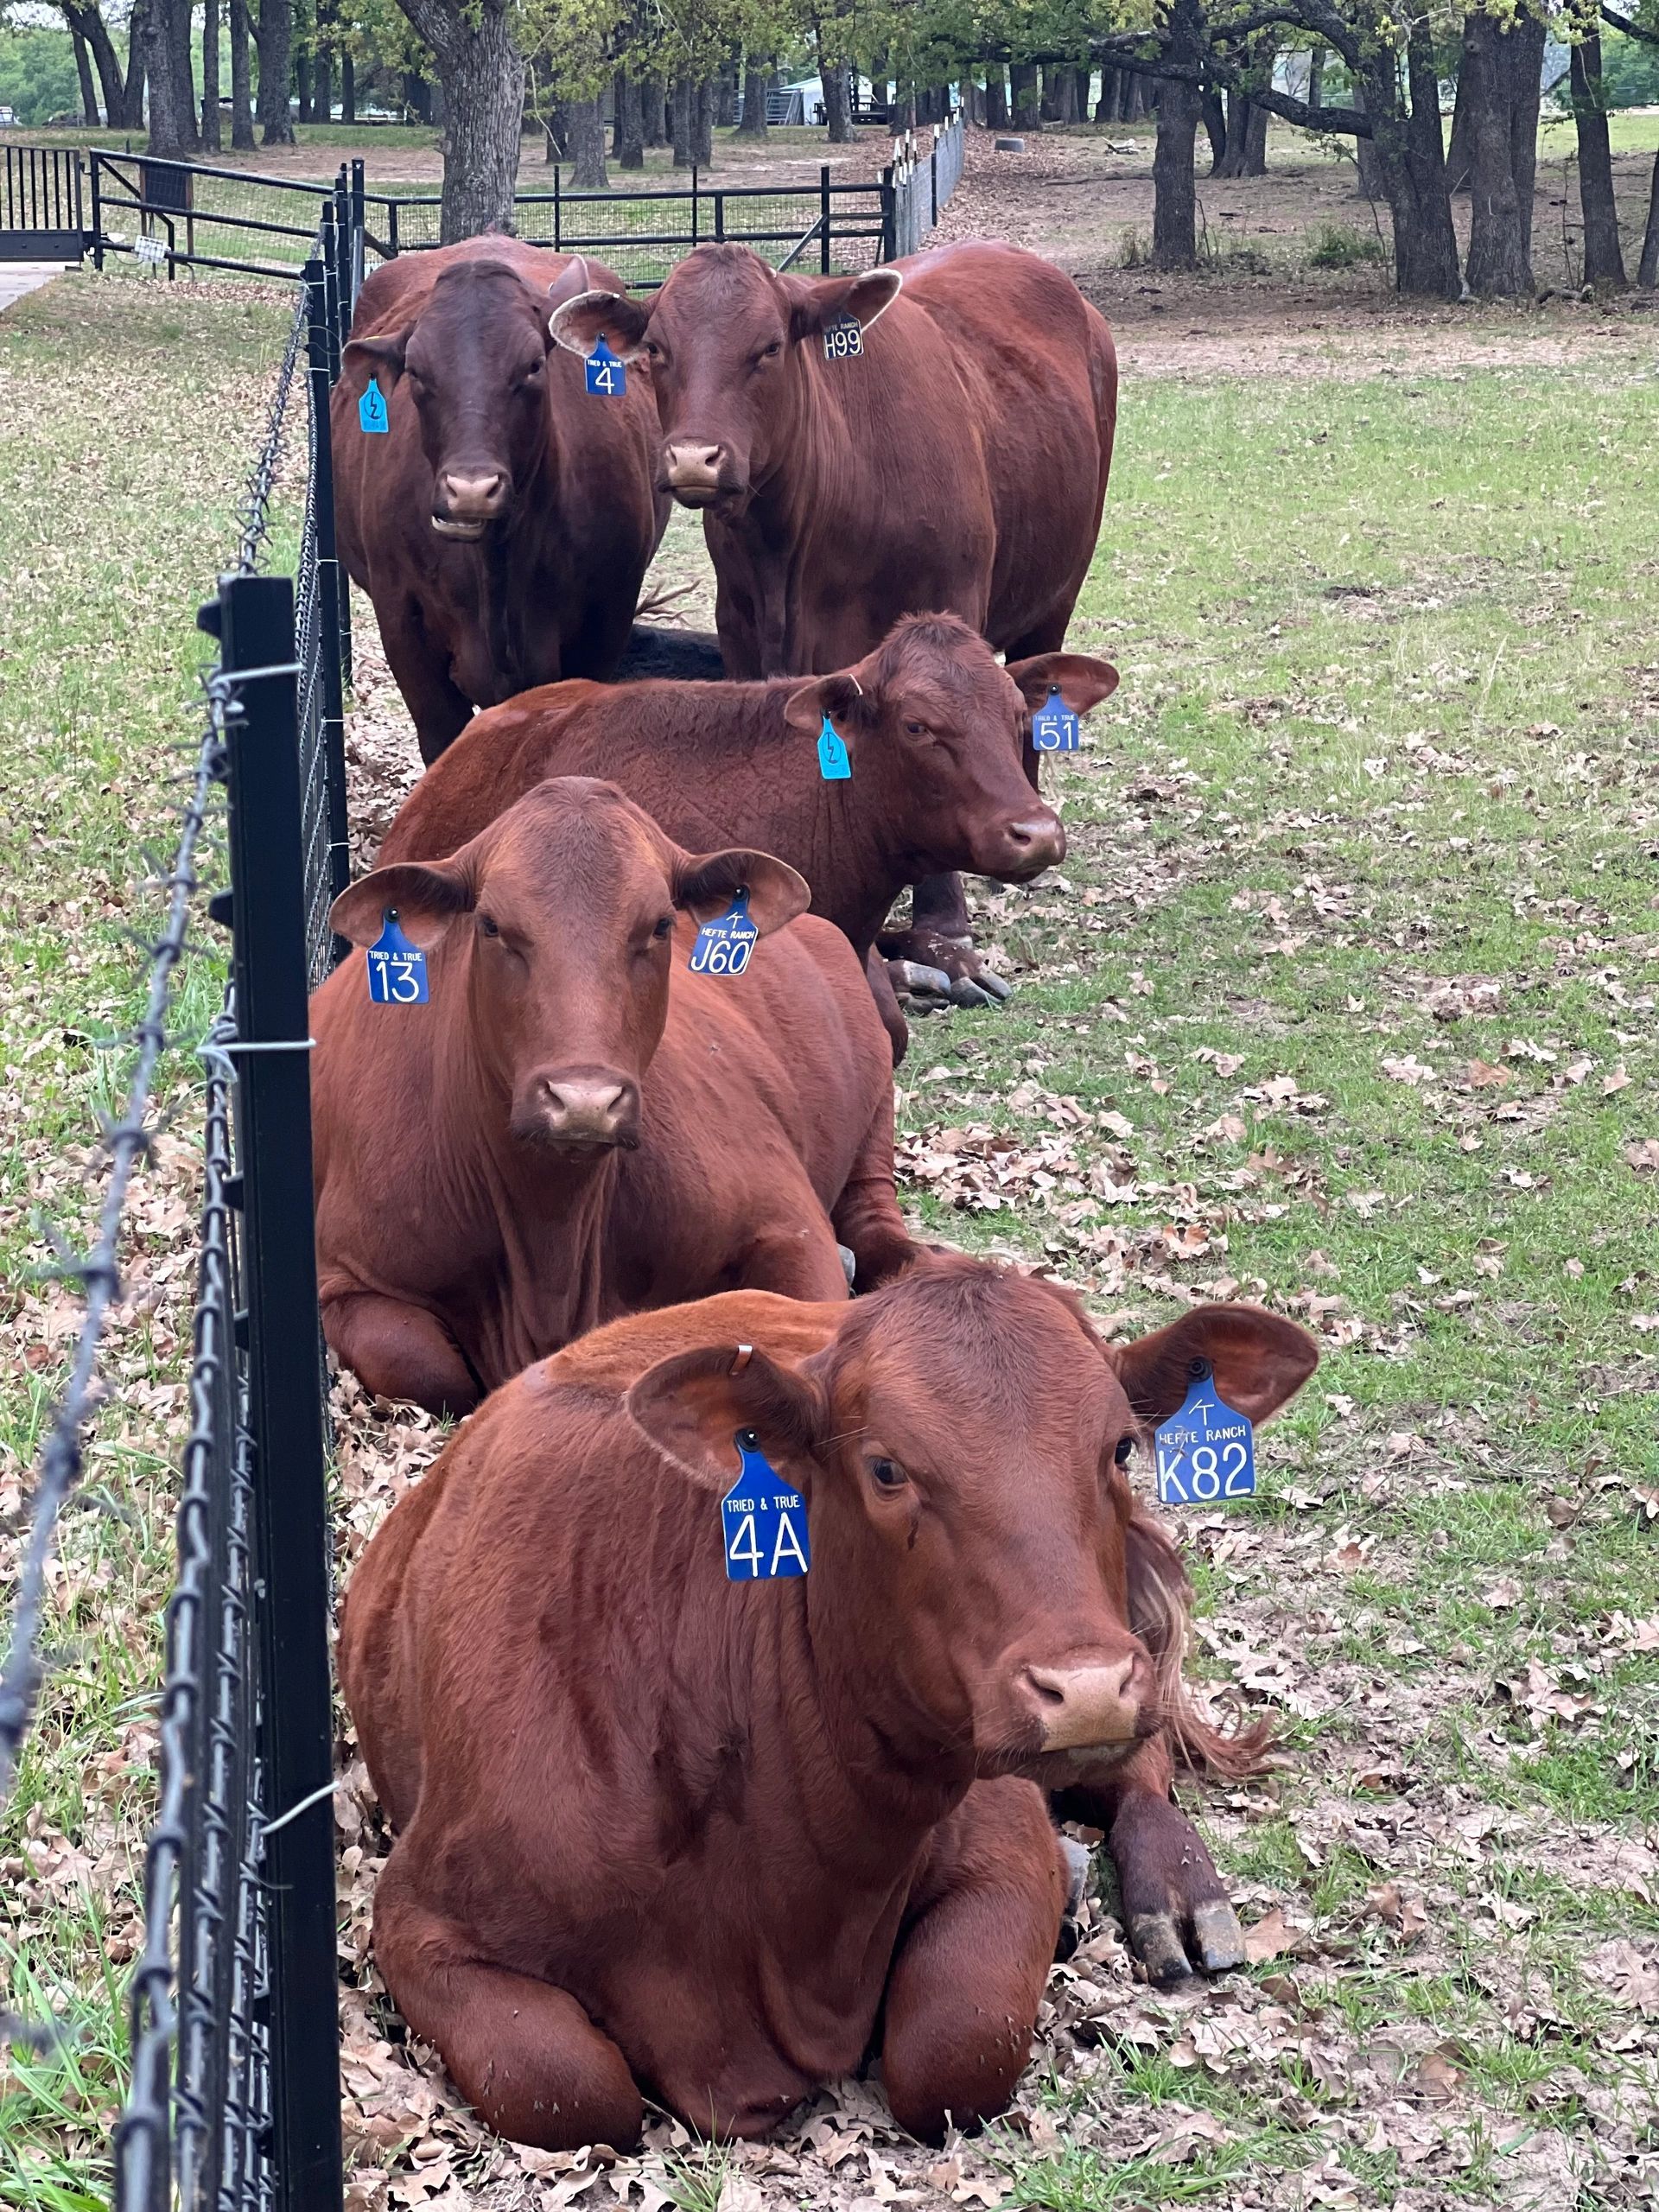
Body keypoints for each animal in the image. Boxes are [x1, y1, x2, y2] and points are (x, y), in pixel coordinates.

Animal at [312, 778, 911, 1417]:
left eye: (661, 925)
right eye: (492, 925)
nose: (584, 1101)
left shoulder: (786, 1223)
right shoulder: (344, 1276)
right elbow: (424, 1368)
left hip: (876, 1099)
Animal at [339, 1262, 1319, 2149]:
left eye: (1119, 1448)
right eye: (884, 1467)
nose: (1085, 1690)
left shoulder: (998, 1829)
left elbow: (955, 2047)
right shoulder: (421, 1918)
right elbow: (568, 2089)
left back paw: (1179, 1897)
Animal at [549, 240, 1117, 994]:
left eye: (768, 347)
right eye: (658, 349)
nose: (694, 458)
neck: (794, 547)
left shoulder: (947, 609)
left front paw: (942, 940)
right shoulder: (742, 631)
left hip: (1061, 586)